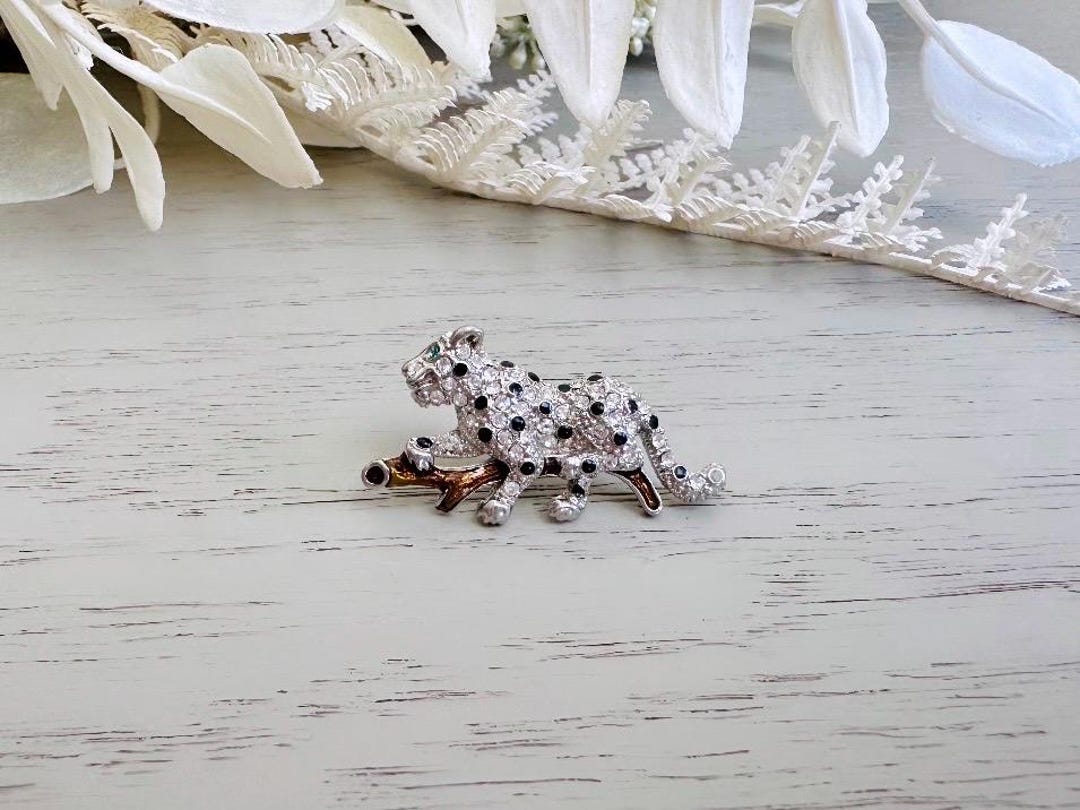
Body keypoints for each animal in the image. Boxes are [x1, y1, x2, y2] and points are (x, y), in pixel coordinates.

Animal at [386, 325, 725, 525]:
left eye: (433, 350)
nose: (404, 368)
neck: (473, 393)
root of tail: (635, 398)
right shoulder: (471, 438)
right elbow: (437, 440)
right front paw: (419, 453)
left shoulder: (527, 458)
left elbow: (517, 477)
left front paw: (496, 507)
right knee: (587, 480)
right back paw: (568, 503)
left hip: (609, 432)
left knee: (628, 459)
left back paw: (575, 462)